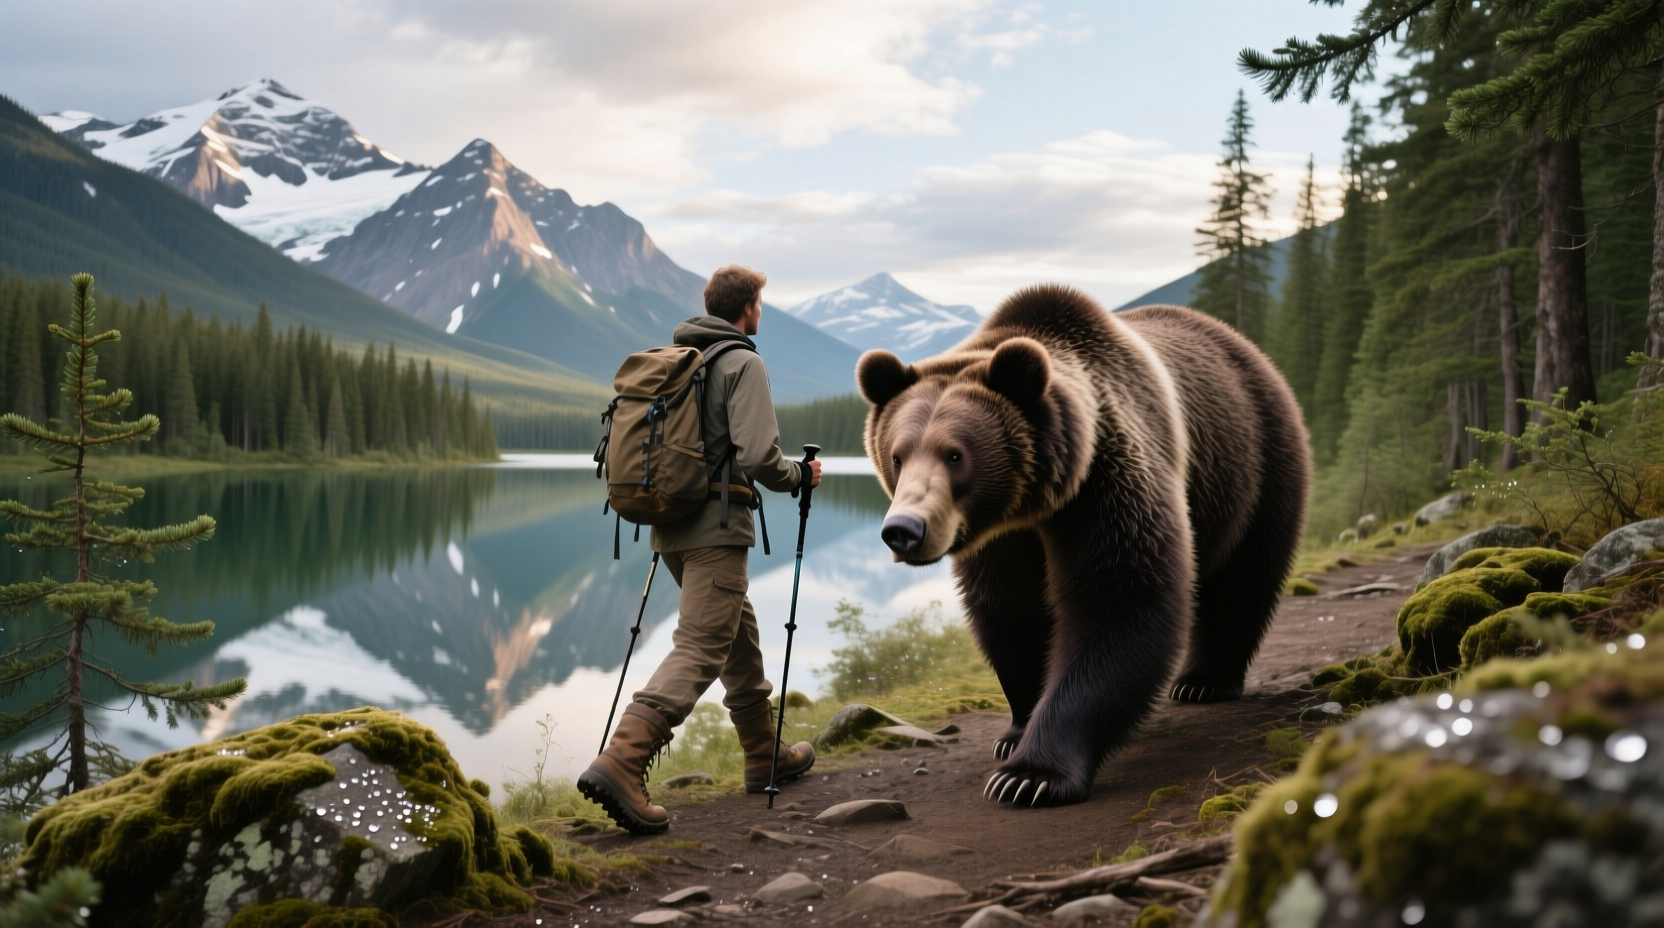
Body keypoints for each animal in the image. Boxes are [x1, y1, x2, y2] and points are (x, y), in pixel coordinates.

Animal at [856, 285, 1311, 807]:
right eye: (897, 455)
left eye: (955, 454)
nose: (903, 530)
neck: (1034, 504)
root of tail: (1242, 344)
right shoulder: (1002, 541)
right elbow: (1011, 613)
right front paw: (1015, 732)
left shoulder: (1109, 483)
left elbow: (1119, 601)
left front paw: (1029, 776)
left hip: (1256, 464)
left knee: (1243, 579)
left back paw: (1203, 681)